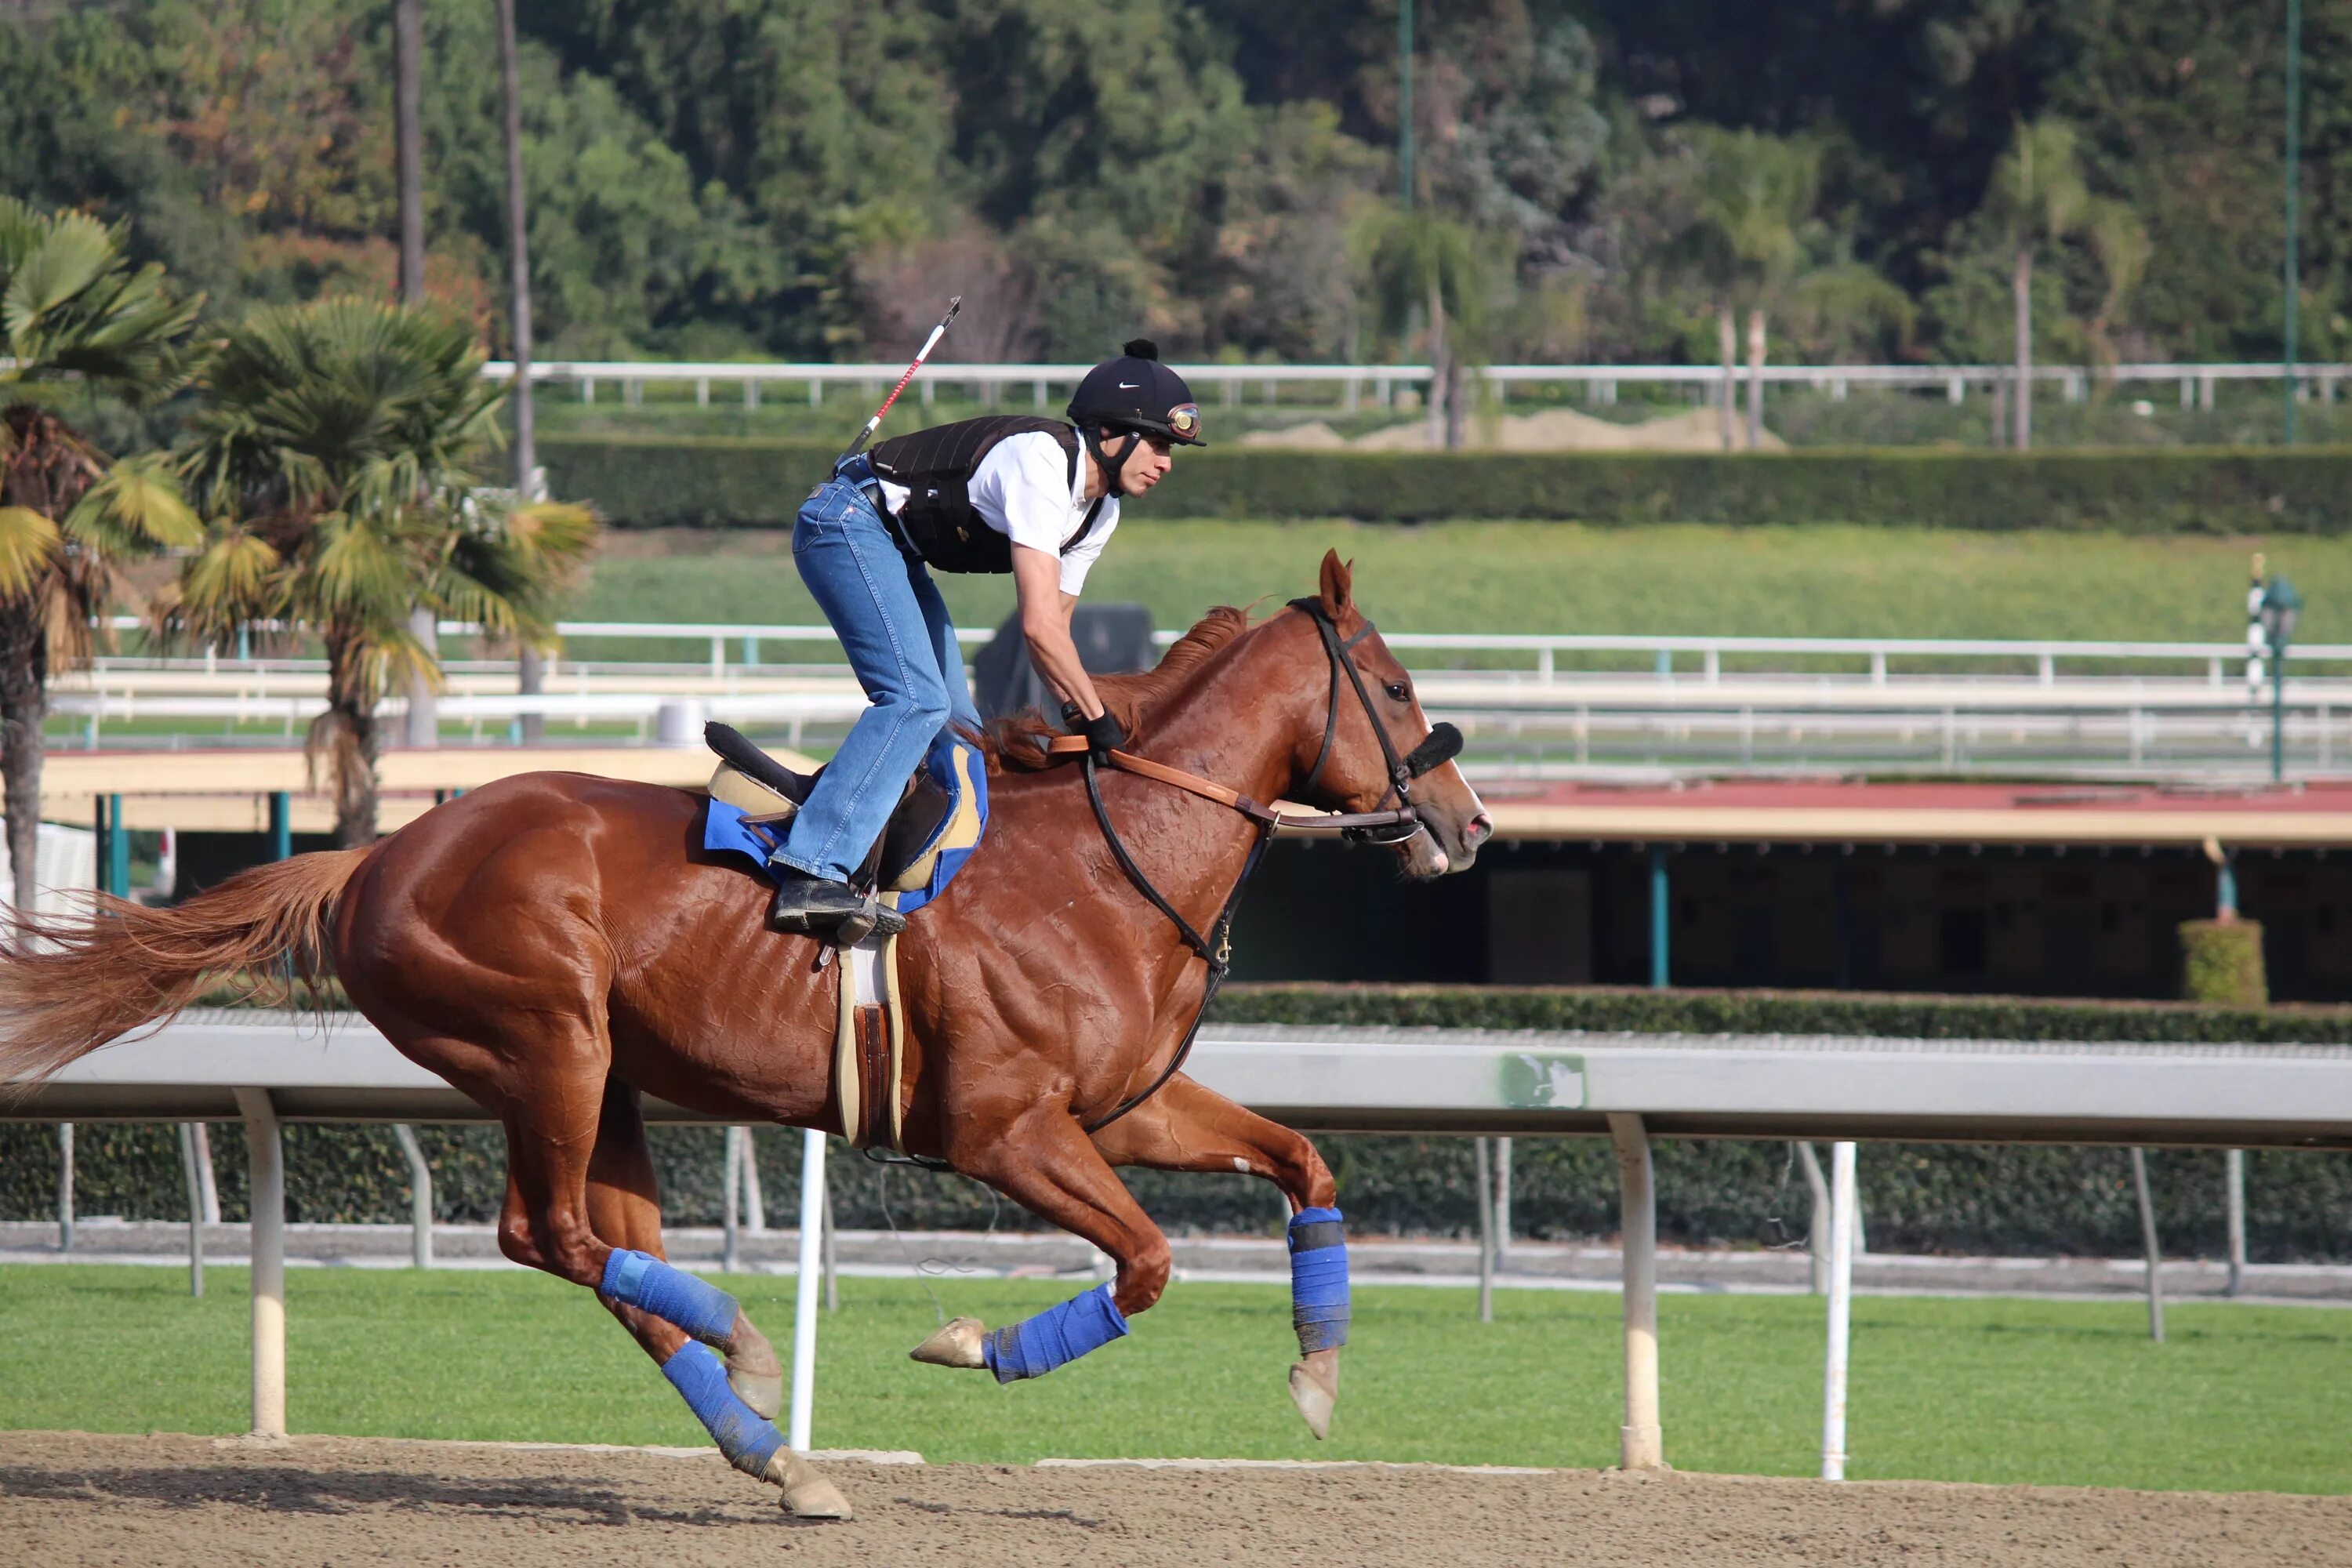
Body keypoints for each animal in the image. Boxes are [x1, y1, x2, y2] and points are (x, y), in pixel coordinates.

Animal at [0, 552, 1486, 1523]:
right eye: (1400, 686)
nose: (1469, 827)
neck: (1109, 859)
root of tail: (374, 855)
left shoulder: (1123, 1109)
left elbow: (1301, 1162)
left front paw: (1317, 1377)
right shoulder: (1000, 1130)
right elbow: (1149, 1262)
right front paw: (976, 1347)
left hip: (605, 1081)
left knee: (603, 1252)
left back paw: (778, 1452)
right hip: (547, 1042)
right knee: (551, 1236)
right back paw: (757, 1361)